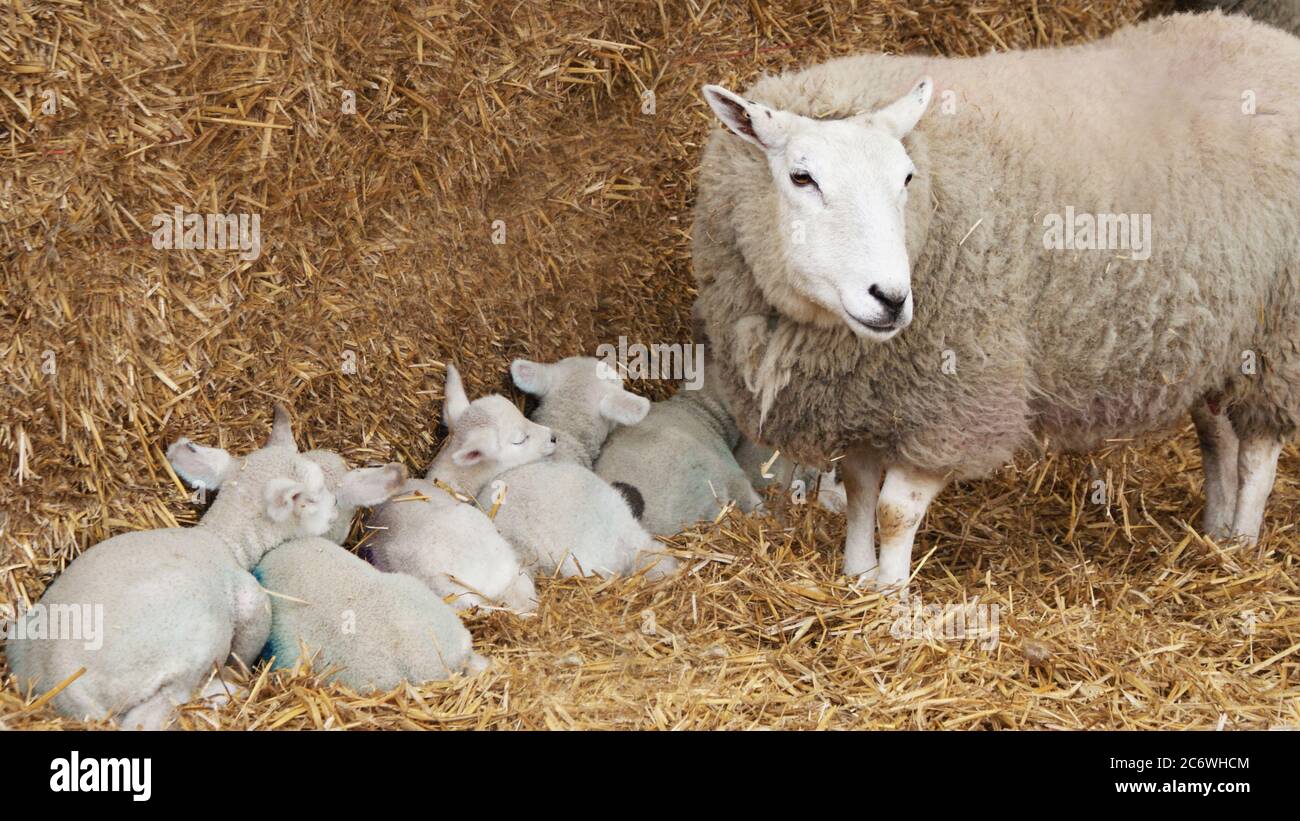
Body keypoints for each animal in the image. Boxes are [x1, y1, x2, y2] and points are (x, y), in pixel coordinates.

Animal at [5, 406, 402, 729]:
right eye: (330, 504)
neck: (222, 537)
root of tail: (66, 687)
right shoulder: (253, 600)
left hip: (19, 641)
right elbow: (245, 649)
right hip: (177, 671)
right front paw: (236, 677)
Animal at [692, 12, 1300, 592]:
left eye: (907, 177)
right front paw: (856, 574)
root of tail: (1268, 39)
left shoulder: (956, 399)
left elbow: (894, 511)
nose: (891, 299)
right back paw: (1216, 531)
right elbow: (861, 492)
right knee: (1218, 437)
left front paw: (889, 596)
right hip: (1223, 336)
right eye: (801, 177)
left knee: (1257, 455)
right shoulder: (866, 396)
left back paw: (1243, 546)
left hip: (1279, 331)